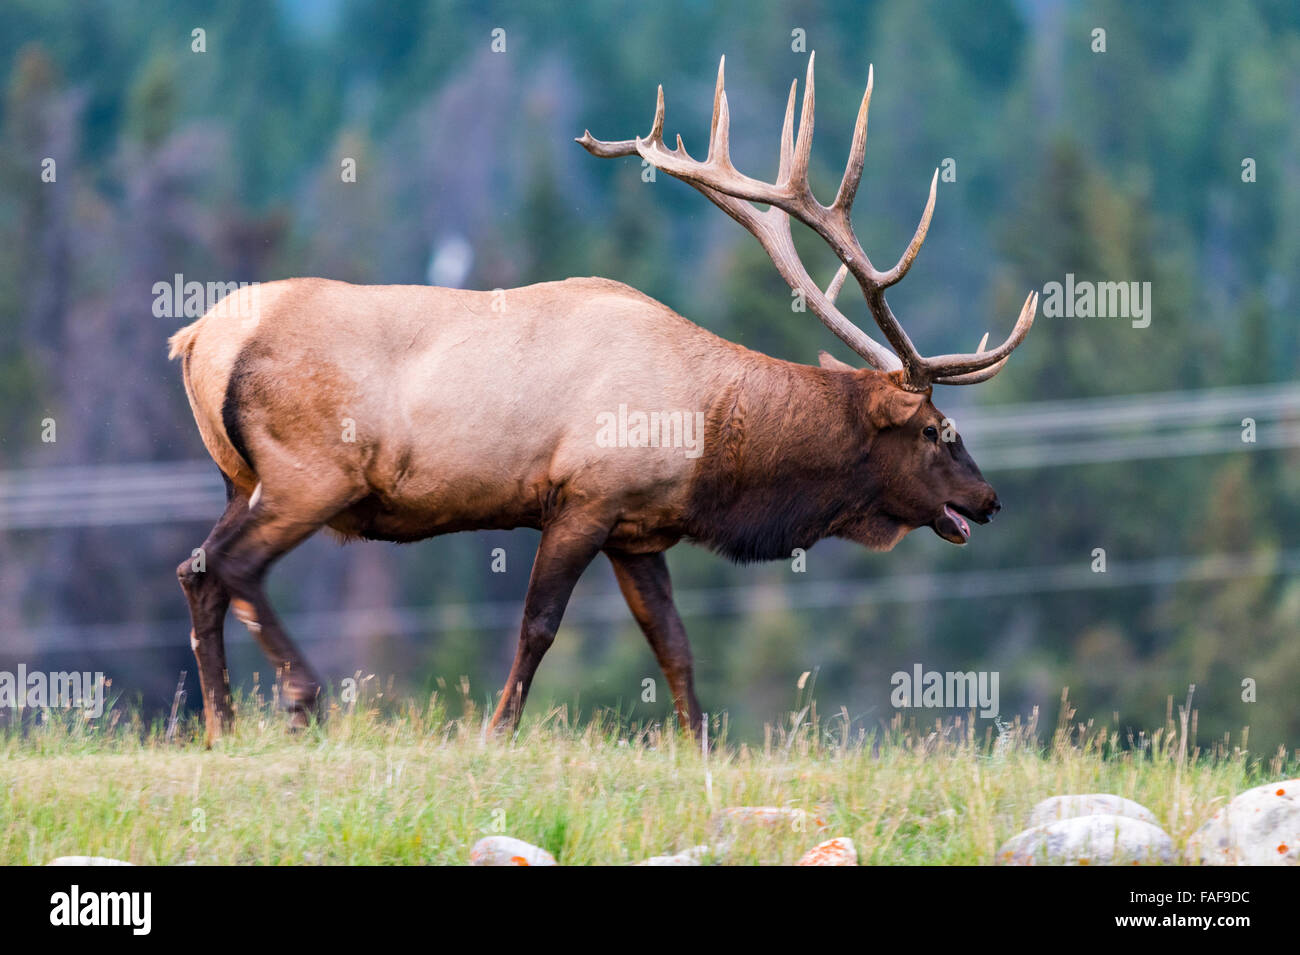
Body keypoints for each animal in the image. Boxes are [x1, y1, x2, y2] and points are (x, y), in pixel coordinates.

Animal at [169, 54, 1036, 744]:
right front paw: (496, 732)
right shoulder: (584, 495)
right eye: (936, 429)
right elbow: (538, 626)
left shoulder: (639, 529)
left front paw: (704, 749)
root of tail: (198, 339)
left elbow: (675, 645)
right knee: (235, 566)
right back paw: (301, 698)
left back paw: (220, 725)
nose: (990, 499)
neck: (711, 439)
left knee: (197, 570)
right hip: (313, 470)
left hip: (241, 476)